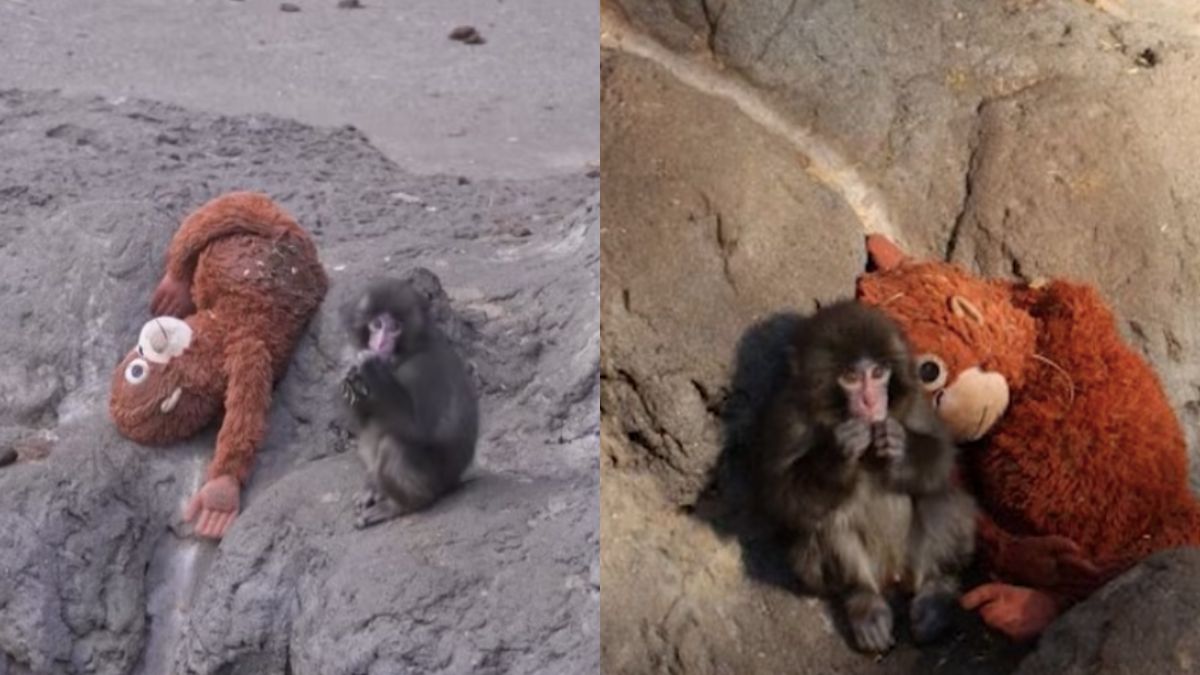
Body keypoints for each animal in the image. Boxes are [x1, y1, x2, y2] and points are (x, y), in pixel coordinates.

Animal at [340, 277, 480, 529]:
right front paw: (353, 378)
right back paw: (374, 486)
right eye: (377, 325)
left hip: (434, 483)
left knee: (394, 445)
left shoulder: (424, 370)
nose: (381, 342)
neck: (402, 356)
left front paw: (372, 369)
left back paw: (400, 506)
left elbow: (419, 429)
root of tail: (454, 481)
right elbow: (360, 421)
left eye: (395, 327)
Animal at [754, 300, 976, 653]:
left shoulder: (914, 399)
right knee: (825, 517)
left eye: (878, 373)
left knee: (939, 497)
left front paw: (901, 447)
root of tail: (893, 575)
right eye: (850, 377)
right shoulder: (788, 416)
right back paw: (863, 601)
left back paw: (935, 592)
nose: (872, 401)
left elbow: (943, 458)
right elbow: (781, 498)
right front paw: (838, 453)